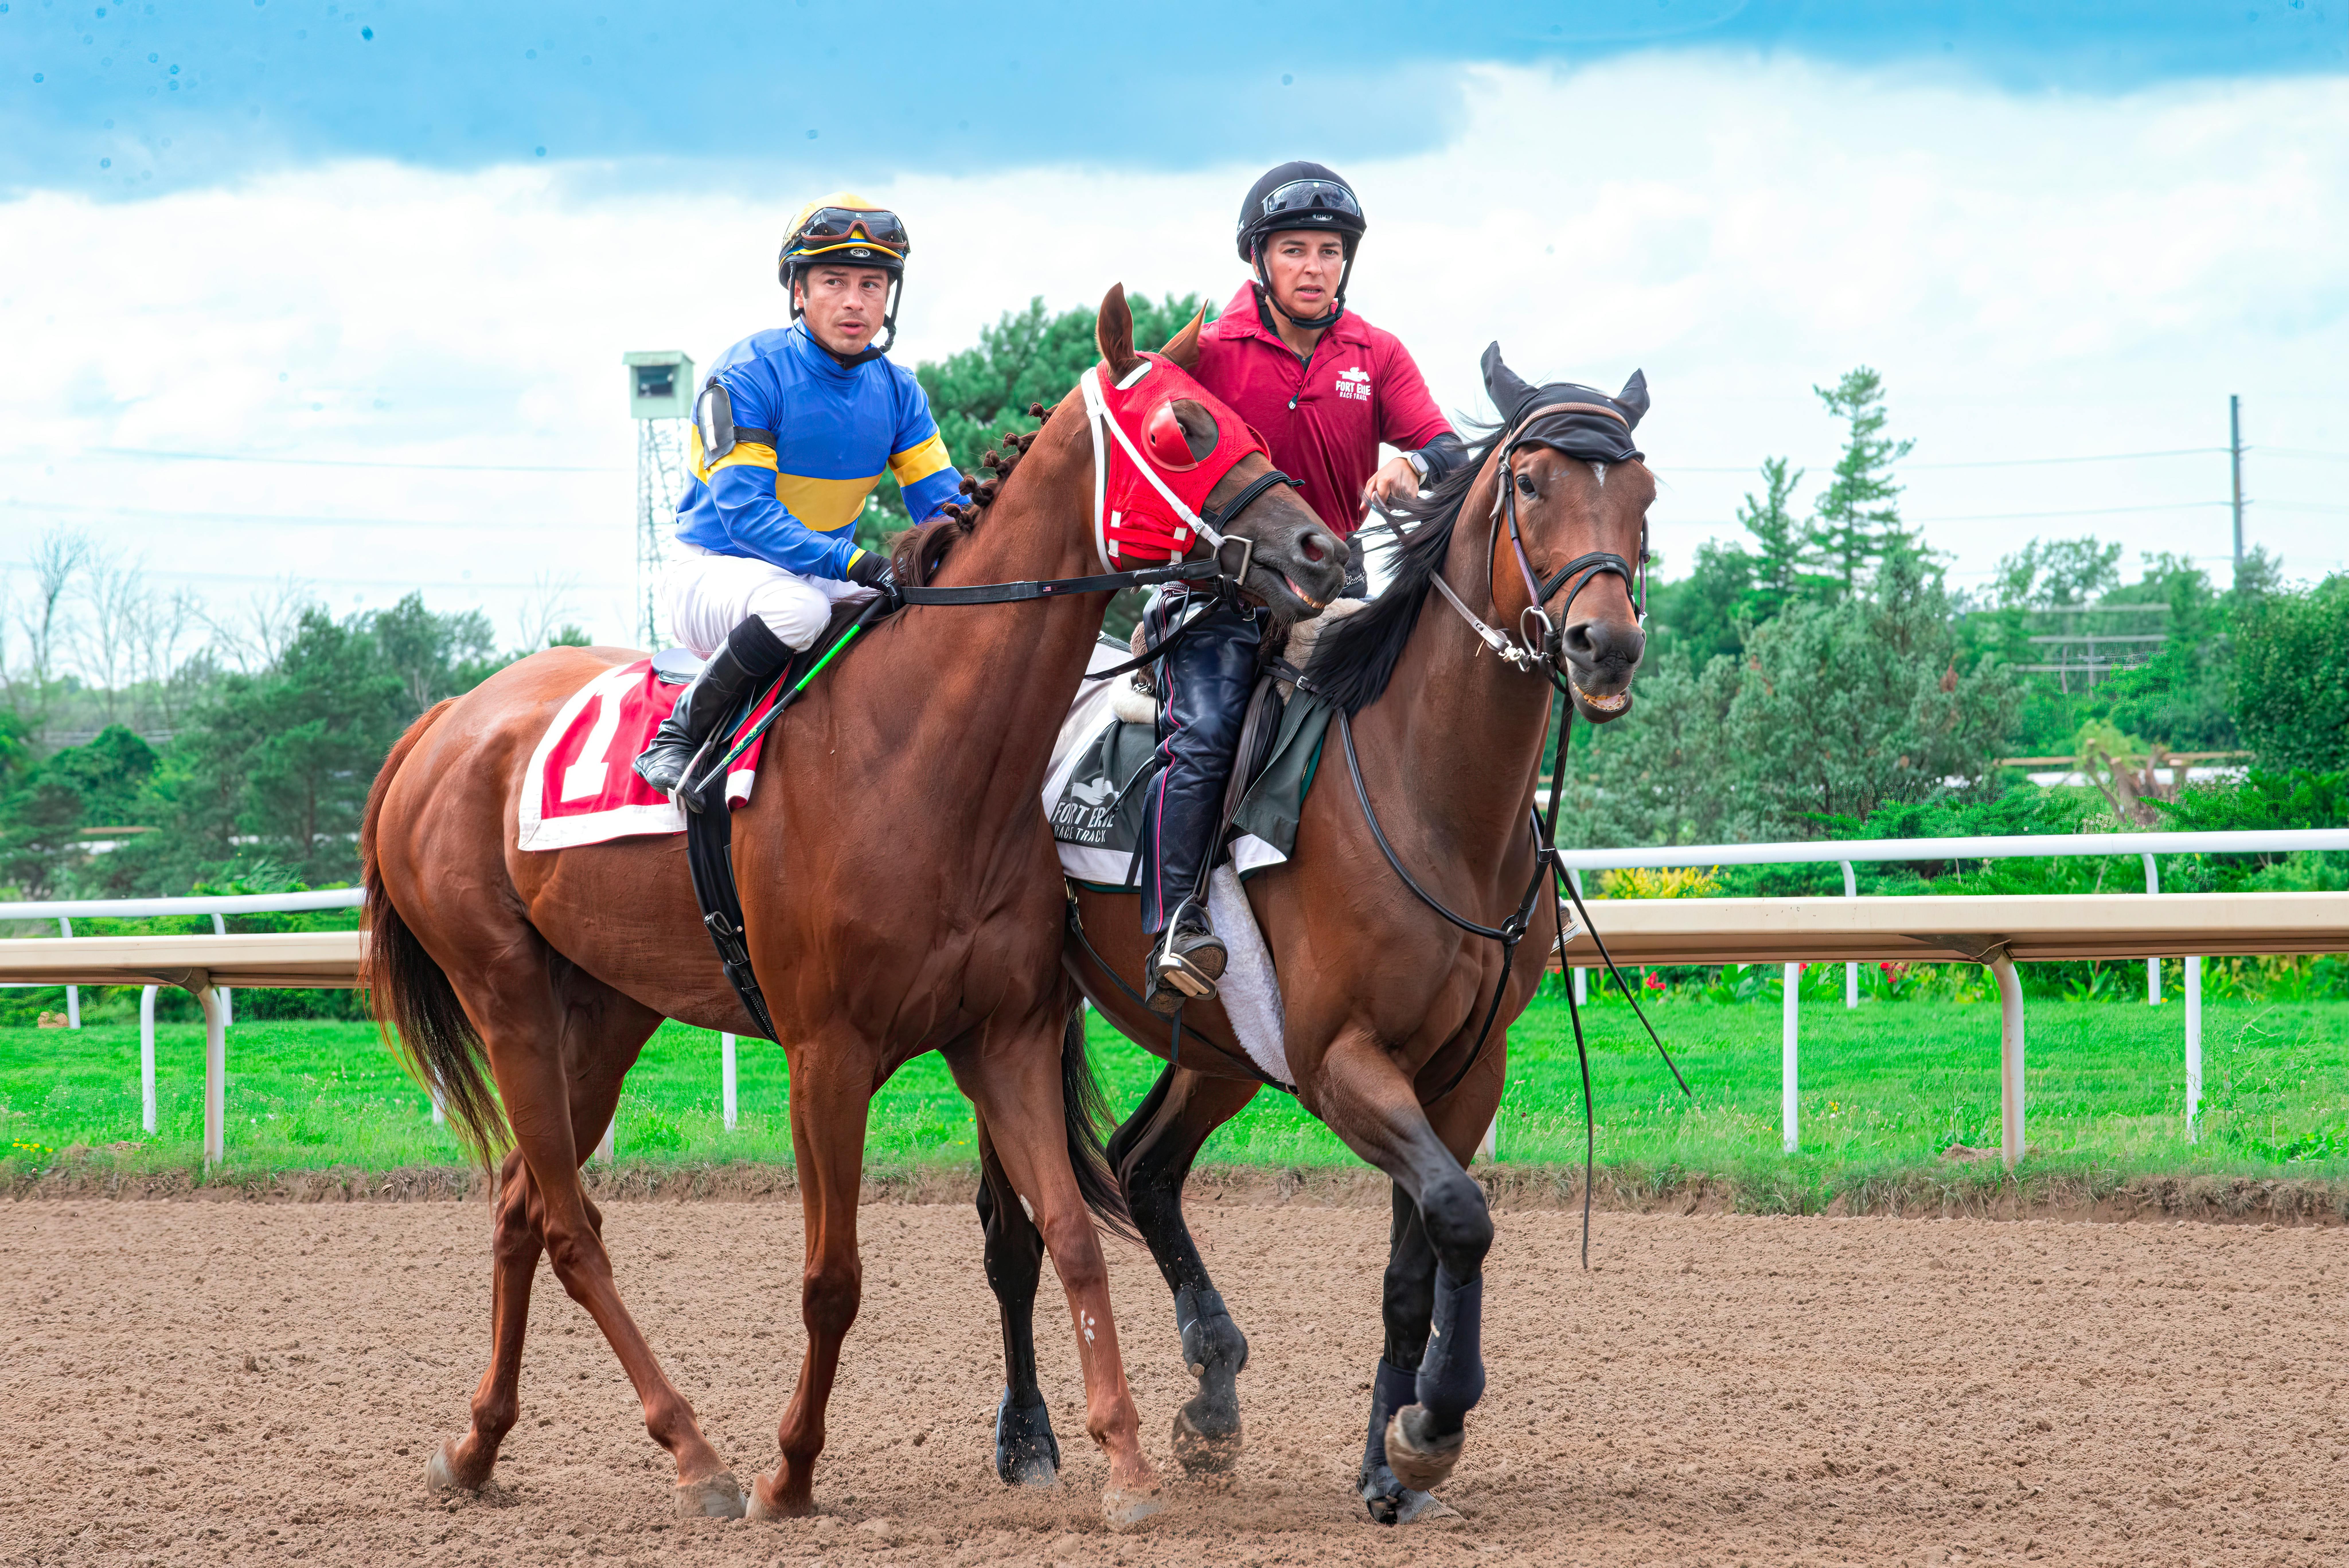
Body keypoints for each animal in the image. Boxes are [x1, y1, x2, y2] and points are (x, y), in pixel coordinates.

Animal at [358, 285, 1348, 1527]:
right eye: (1182, 428)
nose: (1322, 549)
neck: (920, 754)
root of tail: (443, 720)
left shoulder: (1004, 1028)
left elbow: (1072, 1234)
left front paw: (1123, 1464)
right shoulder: (825, 1051)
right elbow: (833, 1276)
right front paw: (789, 1469)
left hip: (602, 1007)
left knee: (518, 1206)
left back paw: (478, 1444)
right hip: (507, 996)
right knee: (571, 1224)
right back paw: (696, 1452)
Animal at [974, 345, 1654, 1523]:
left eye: (1644, 493)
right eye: (1531, 484)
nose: (1602, 643)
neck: (1428, 798)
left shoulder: (1459, 1071)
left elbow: (1418, 1261)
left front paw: (1390, 1464)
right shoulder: (1342, 1061)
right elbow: (1462, 1214)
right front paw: (1430, 1424)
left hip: (1215, 1048)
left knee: (1140, 1164)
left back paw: (1212, 1387)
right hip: (996, 1017)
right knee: (1013, 1231)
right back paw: (1030, 1436)